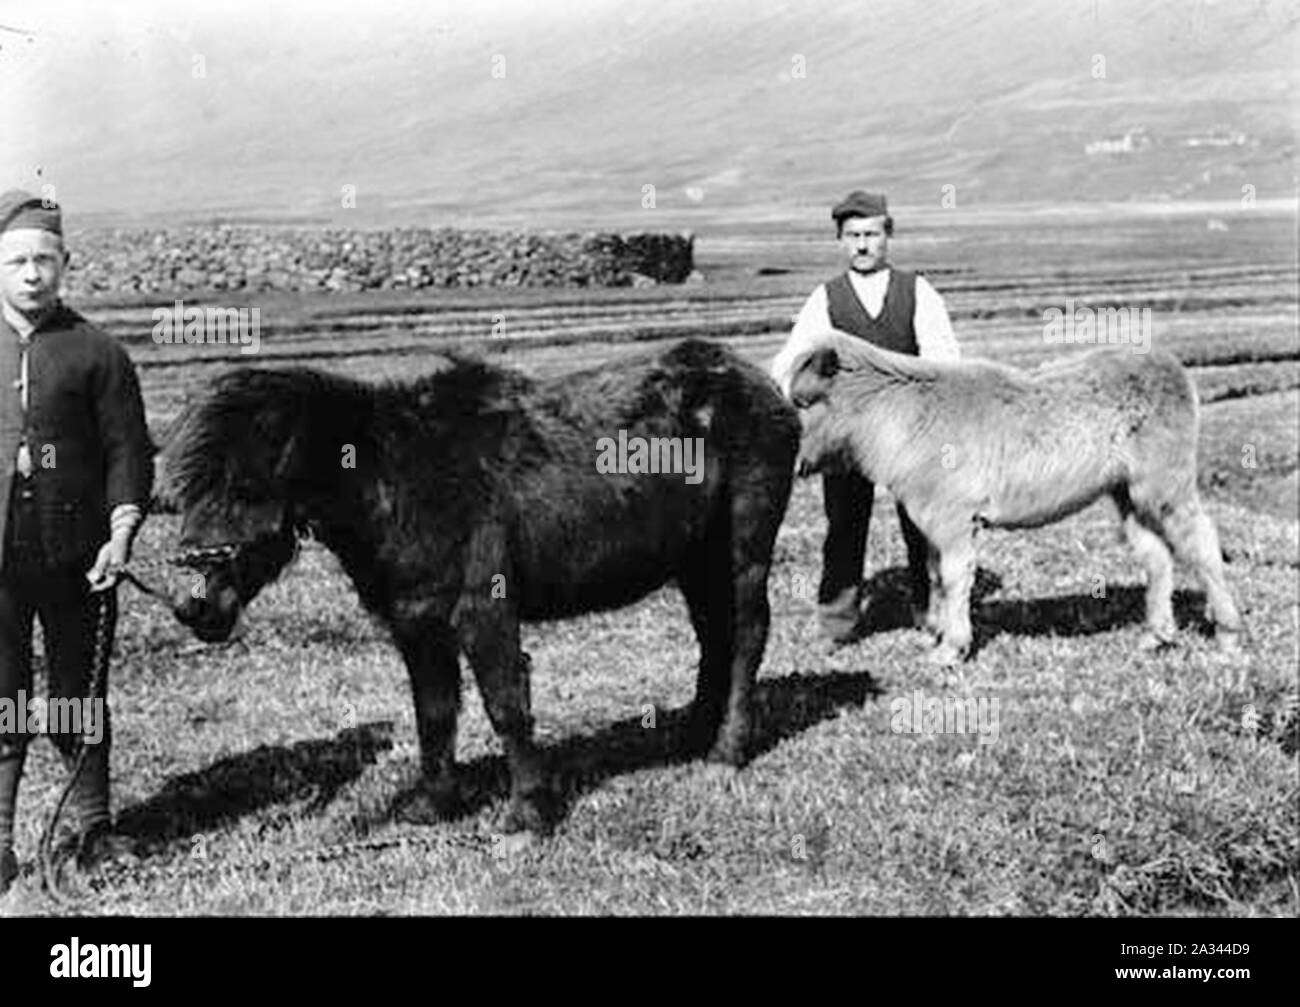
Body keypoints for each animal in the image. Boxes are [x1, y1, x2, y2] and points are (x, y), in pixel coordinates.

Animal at [162, 338, 800, 833]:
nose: (195, 607)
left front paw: (527, 813)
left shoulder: (482, 613)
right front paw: (433, 804)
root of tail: (760, 382)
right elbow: (435, 713)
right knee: (714, 640)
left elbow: (505, 706)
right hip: (696, 562)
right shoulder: (416, 624)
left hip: (740, 552)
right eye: (187, 494)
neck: (396, 482)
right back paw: (693, 738)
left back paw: (727, 750)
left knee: (746, 637)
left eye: (244, 489)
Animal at [788, 330, 1241, 665]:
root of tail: (1168, 363)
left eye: (802, 401)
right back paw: (1157, 636)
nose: (793, 464)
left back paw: (1227, 633)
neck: (913, 416)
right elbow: (938, 578)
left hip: (1166, 485)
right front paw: (940, 636)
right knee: (1157, 556)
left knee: (1201, 542)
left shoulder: (953, 520)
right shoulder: (934, 523)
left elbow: (955, 577)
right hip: (1128, 494)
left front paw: (951, 649)